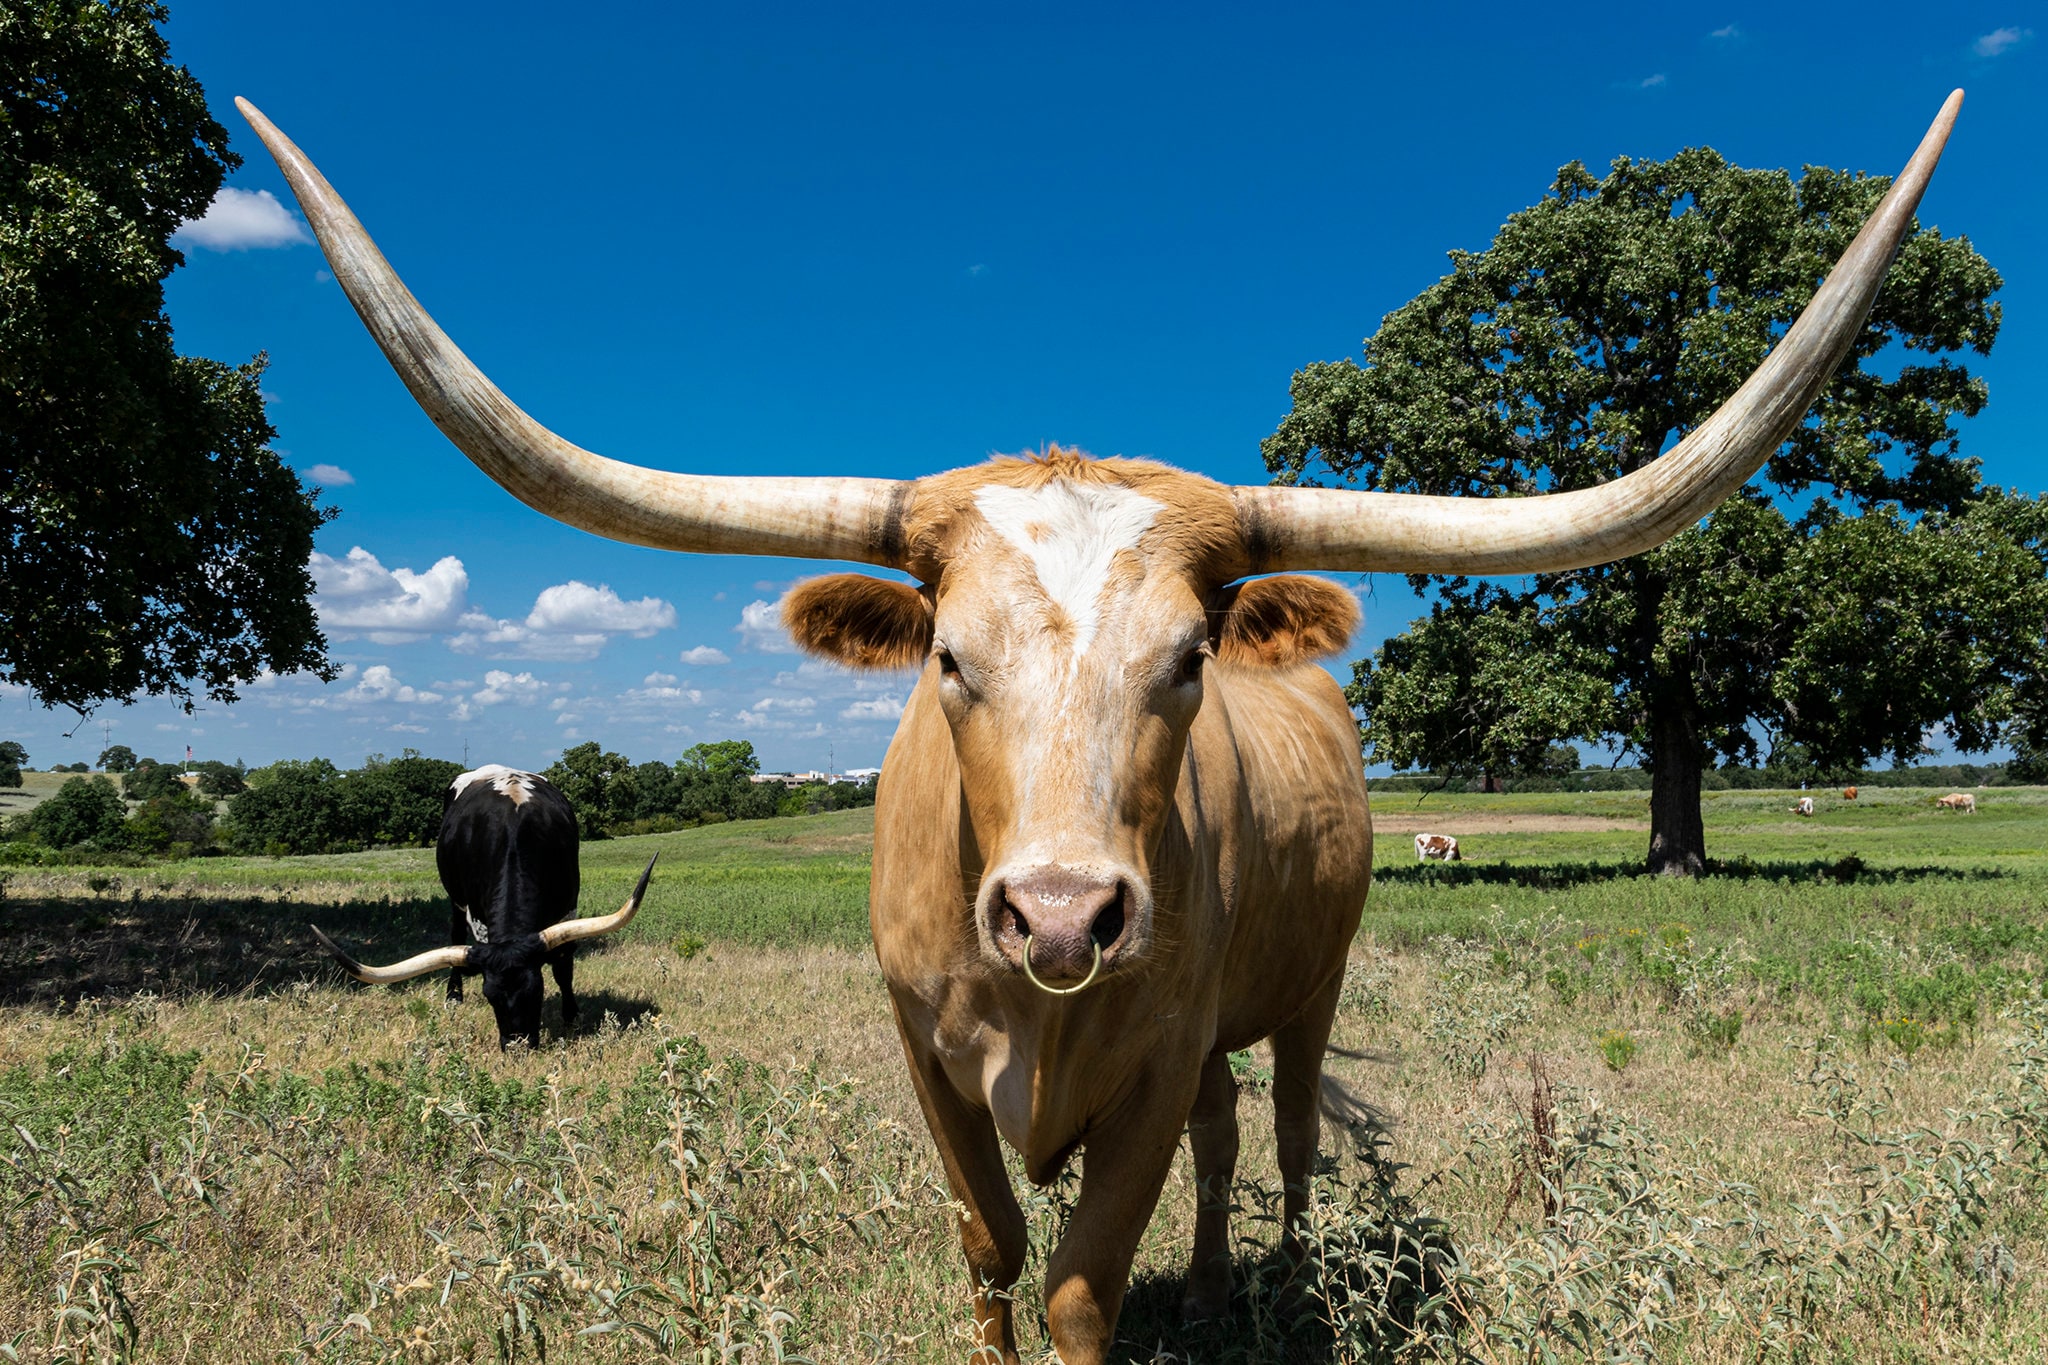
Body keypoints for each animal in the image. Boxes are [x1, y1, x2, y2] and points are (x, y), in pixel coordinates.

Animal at [309, 765, 656, 1048]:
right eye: (490, 996)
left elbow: (563, 967)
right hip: (454, 898)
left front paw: (571, 1015)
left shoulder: (568, 906)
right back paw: (453, 995)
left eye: (536, 990)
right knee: (454, 935)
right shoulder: (476, 915)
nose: (516, 1045)